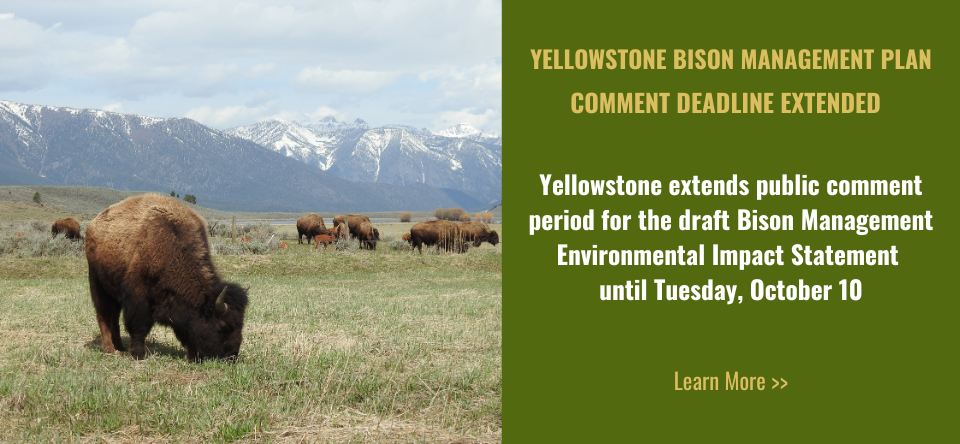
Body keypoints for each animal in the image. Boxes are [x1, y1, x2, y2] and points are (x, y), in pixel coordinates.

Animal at [85, 195, 249, 361]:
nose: (232, 357)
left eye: (241, 324)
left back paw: (120, 346)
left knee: (114, 317)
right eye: (223, 325)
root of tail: (92, 226)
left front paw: (192, 356)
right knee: (103, 315)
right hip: (98, 284)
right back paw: (108, 348)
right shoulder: (137, 295)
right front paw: (138, 354)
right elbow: (139, 326)